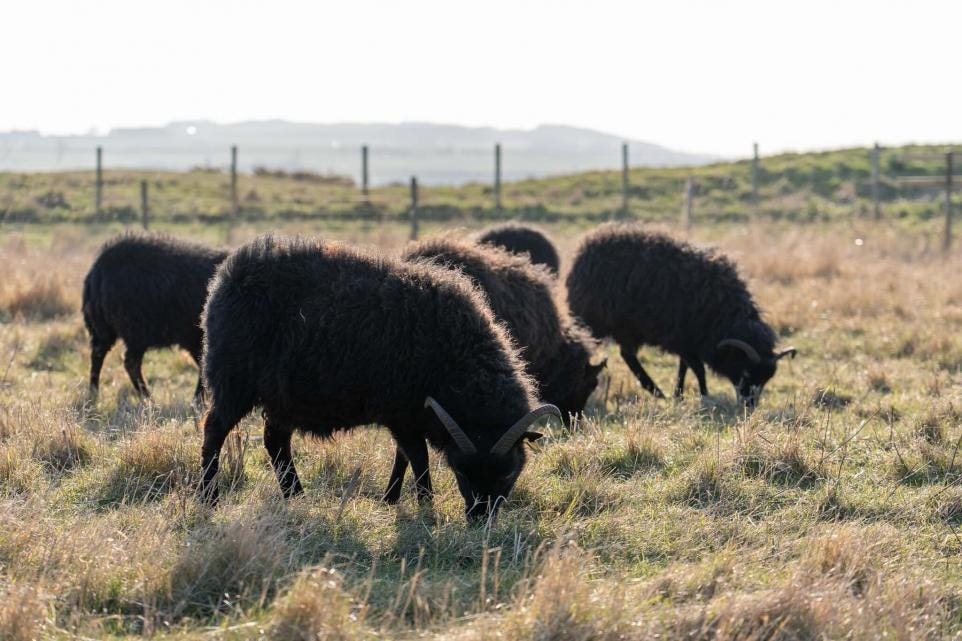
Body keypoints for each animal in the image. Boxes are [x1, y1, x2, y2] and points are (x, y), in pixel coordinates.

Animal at [82, 233, 227, 400]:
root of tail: (98, 269)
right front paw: (199, 400)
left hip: (102, 328)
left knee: (98, 354)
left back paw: (94, 393)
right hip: (136, 330)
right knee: (130, 363)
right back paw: (148, 397)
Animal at [199, 234, 560, 523]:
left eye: (510, 471)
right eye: (460, 470)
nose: (480, 520)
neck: (453, 359)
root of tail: (228, 276)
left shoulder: (412, 414)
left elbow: (403, 456)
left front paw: (391, 499)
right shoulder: (402, 412)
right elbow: (418, 458)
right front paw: (425, 505)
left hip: (282, 395)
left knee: (276, 442)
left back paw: (295, 496)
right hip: (234, 380)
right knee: (215, 430)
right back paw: (208, 498)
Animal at [566, 223, 795, 408]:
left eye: (766, 379)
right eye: (746, 371)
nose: (750, 405)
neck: (724, 318)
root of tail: (586, 247)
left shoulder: (688, 342)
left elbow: (683, 368)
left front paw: (679, 394)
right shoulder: (684, 339)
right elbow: (698, 369)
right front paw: (704, 394)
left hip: (627, 328)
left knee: (628, 355)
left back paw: (656, 391)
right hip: (594, 320)